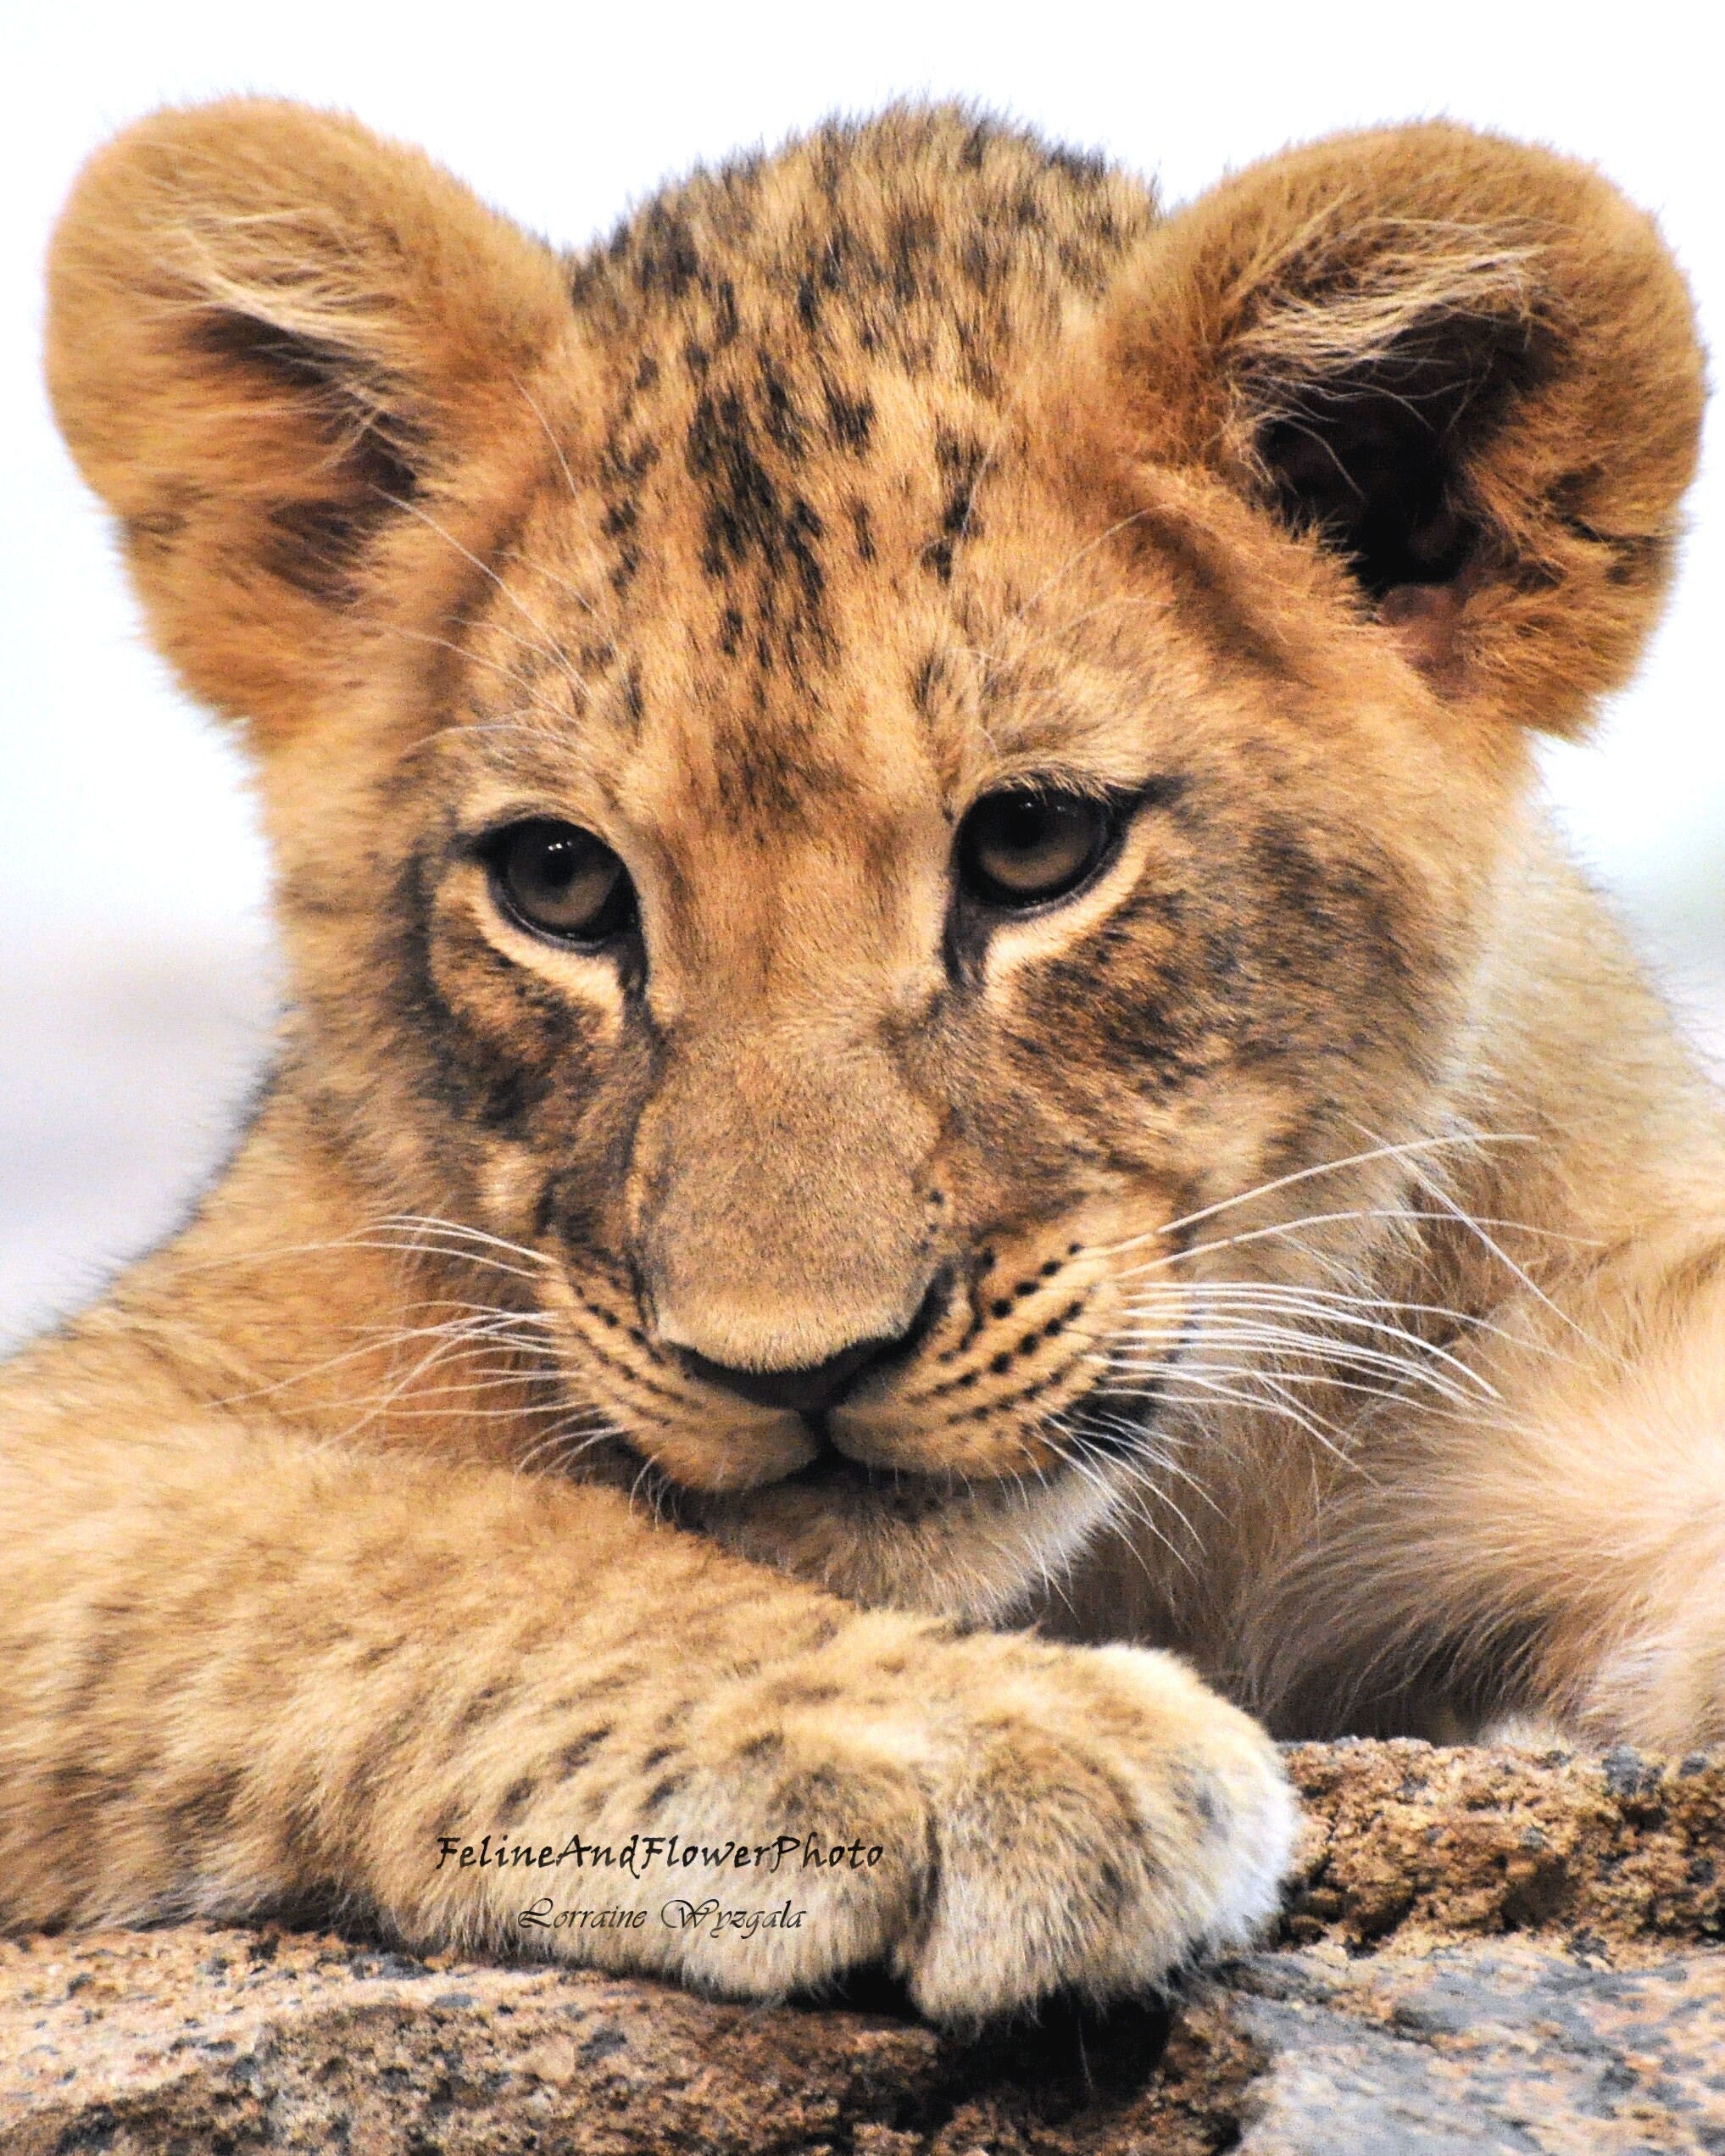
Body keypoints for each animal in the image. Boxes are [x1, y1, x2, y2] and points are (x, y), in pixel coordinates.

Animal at [0, 98, 1712, 2025]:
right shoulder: (104, 1414)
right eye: (557, 880)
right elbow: (440, 1550)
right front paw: (982, 1738)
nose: (794, 1365)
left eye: (1035, 845)